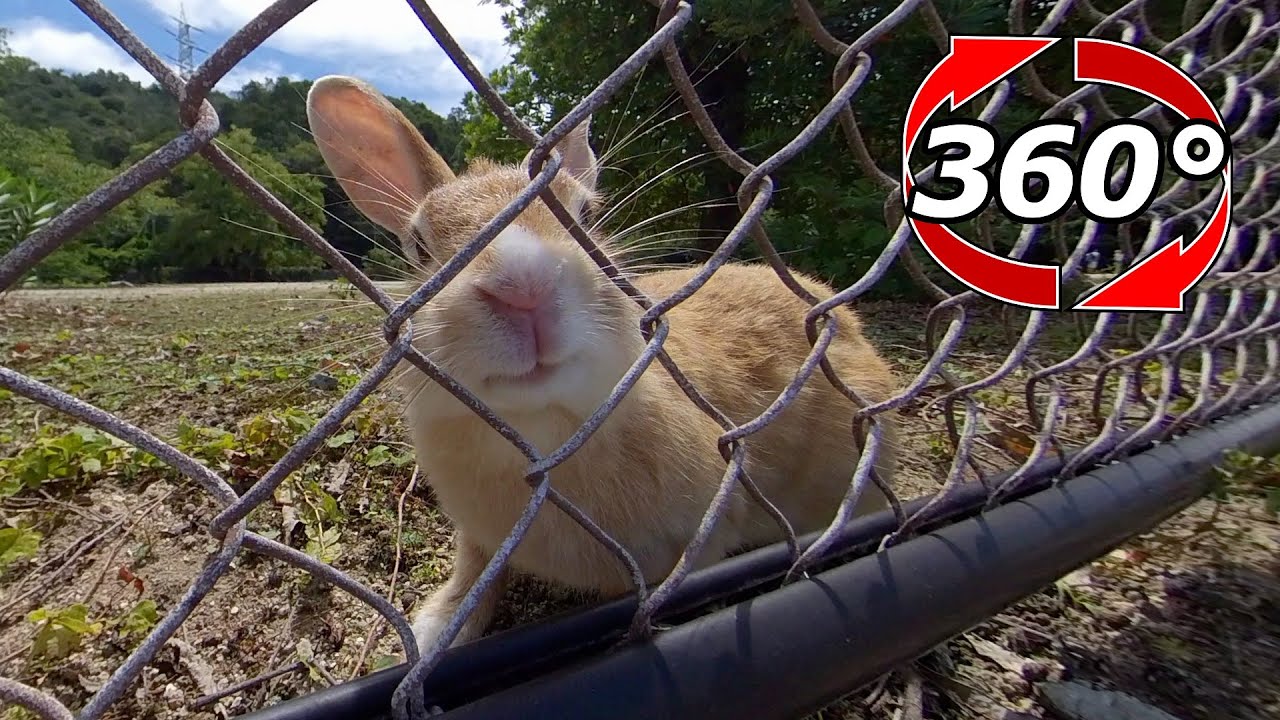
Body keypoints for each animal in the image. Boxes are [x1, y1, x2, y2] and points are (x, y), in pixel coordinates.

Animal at [305, 75, 902, 657]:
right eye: (419, 246)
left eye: (585, 217)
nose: (524, 285)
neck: (544, 429)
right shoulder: (480, 537)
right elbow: (474, 573)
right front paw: (436, 630)